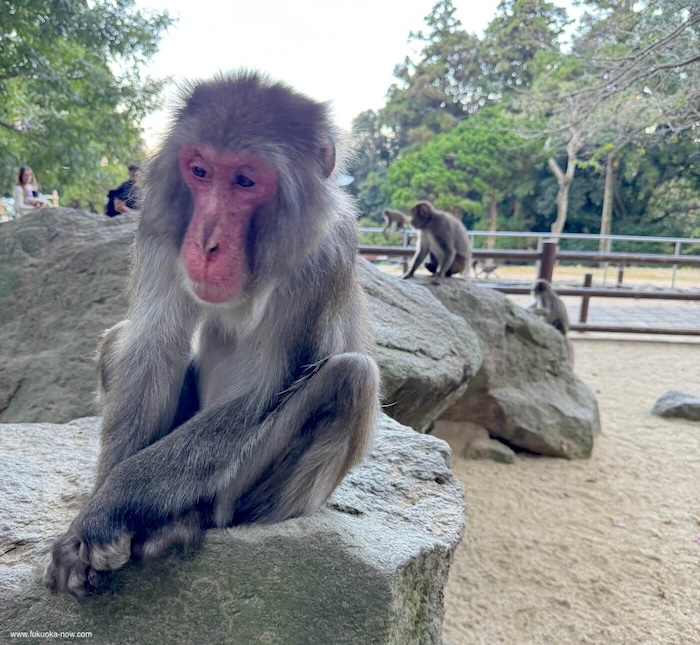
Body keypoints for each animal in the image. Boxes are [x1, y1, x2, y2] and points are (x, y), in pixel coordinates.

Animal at [43, 71, 381, 600]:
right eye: (200, 171)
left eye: (245, 181)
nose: (204, 241)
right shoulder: (162, 222)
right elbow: (152, 346)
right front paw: (90, 520)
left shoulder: (322, 258)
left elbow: (259, 396)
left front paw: (108, 507)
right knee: (120, 340)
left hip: (245, 496)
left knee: (351, 377)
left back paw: (183, 520)